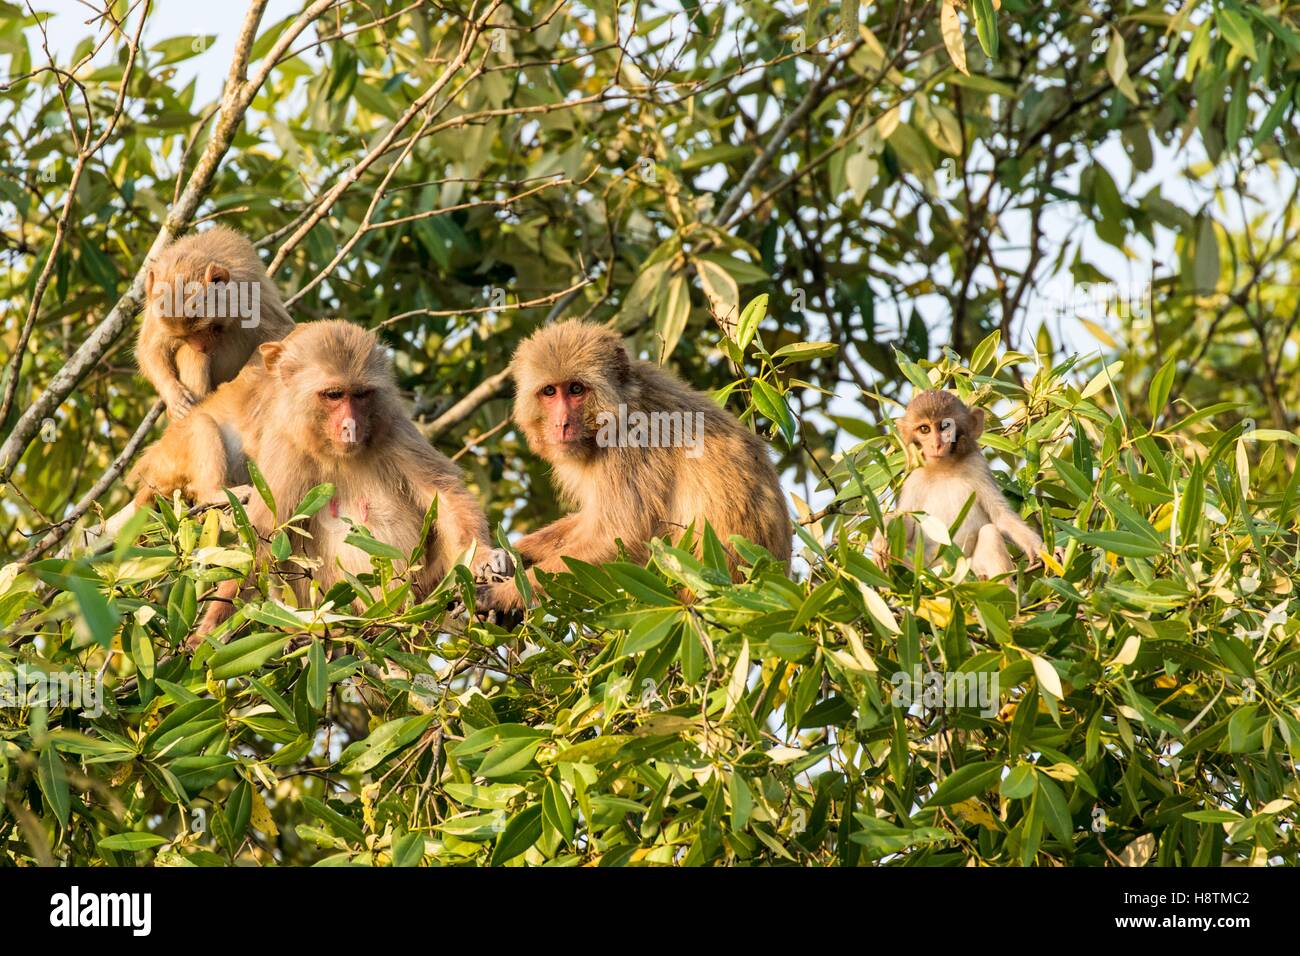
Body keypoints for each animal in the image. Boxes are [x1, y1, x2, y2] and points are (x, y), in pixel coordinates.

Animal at [137, 225, 294, 419]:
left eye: (204, 329)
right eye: (184, 336)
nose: (200, 346)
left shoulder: (250, 295)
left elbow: (280, 332)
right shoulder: (155, 310)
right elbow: (150, 350)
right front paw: (174, 396)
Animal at [476, 320, 792, 613]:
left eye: (576, 389)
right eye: (550, 392)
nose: (562, 424)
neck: (618, 408)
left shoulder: (630, 449)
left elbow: (620, 538)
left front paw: (501, 596)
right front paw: (503, 554)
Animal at [872, 389, 1053, 579]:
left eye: (945, 426)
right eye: (924, 429)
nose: (936, 445)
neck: (943, 469)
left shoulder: (977, 466)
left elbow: (1001, 517)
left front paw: (1043, 550)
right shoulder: (914, 479)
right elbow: (906, 521)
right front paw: (881, 539)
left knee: (989, 533)